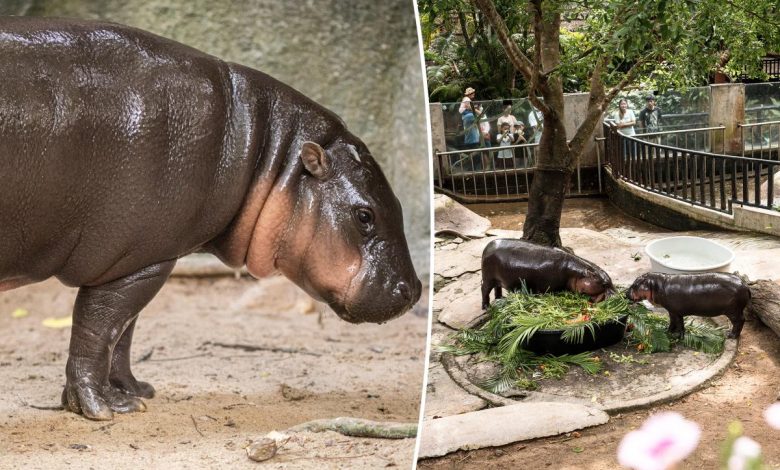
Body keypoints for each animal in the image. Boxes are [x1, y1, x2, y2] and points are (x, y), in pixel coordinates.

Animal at [0, 17, 421, 421]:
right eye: (364, 215)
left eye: (400, 205)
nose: (414, 290)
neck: (262, 151)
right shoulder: (133, 260)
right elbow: (99, 329)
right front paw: (103, 409)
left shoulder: (137, 262)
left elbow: (123, 333)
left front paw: (135, 393)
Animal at [480, 238, 615, 310]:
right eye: (603, 284)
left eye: (610, 280)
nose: (615, 295)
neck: (576, 272)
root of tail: (488, 246)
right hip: (488, 278)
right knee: (485, 291)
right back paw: (486, 307)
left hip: (497, 280)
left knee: (497, 288)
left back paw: (500, 298)